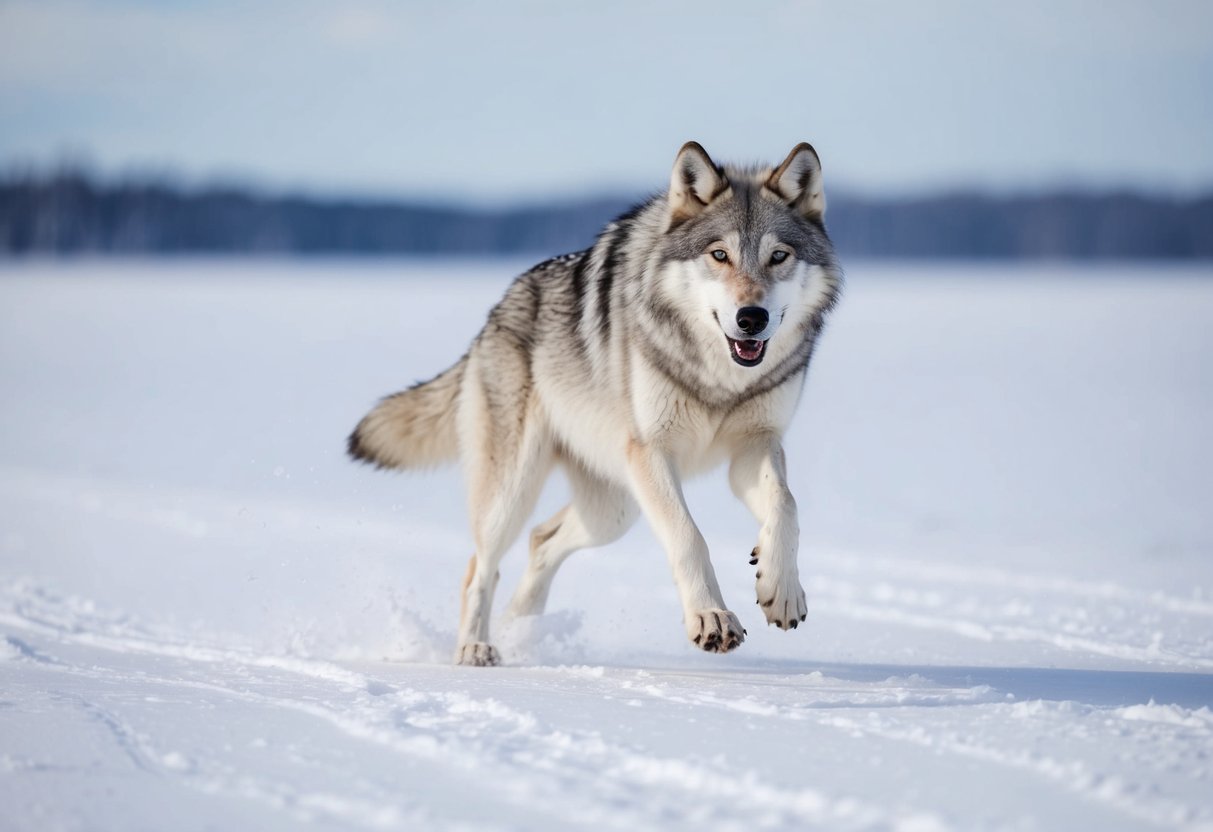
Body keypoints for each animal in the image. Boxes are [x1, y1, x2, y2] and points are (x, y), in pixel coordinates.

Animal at [348, 142, 841, 666]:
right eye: (720, 255)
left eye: (778, 256)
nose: (751, 318)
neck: (719, 378)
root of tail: (493, 316)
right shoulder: (651, 453)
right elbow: (688, 536)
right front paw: (711, 618)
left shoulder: (754, 447)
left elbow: (785, 505)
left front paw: (780, 587)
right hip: (519, 491)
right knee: (479, 567)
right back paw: (476, 647)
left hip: (614, 510)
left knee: (540, 540)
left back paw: (521, 630)